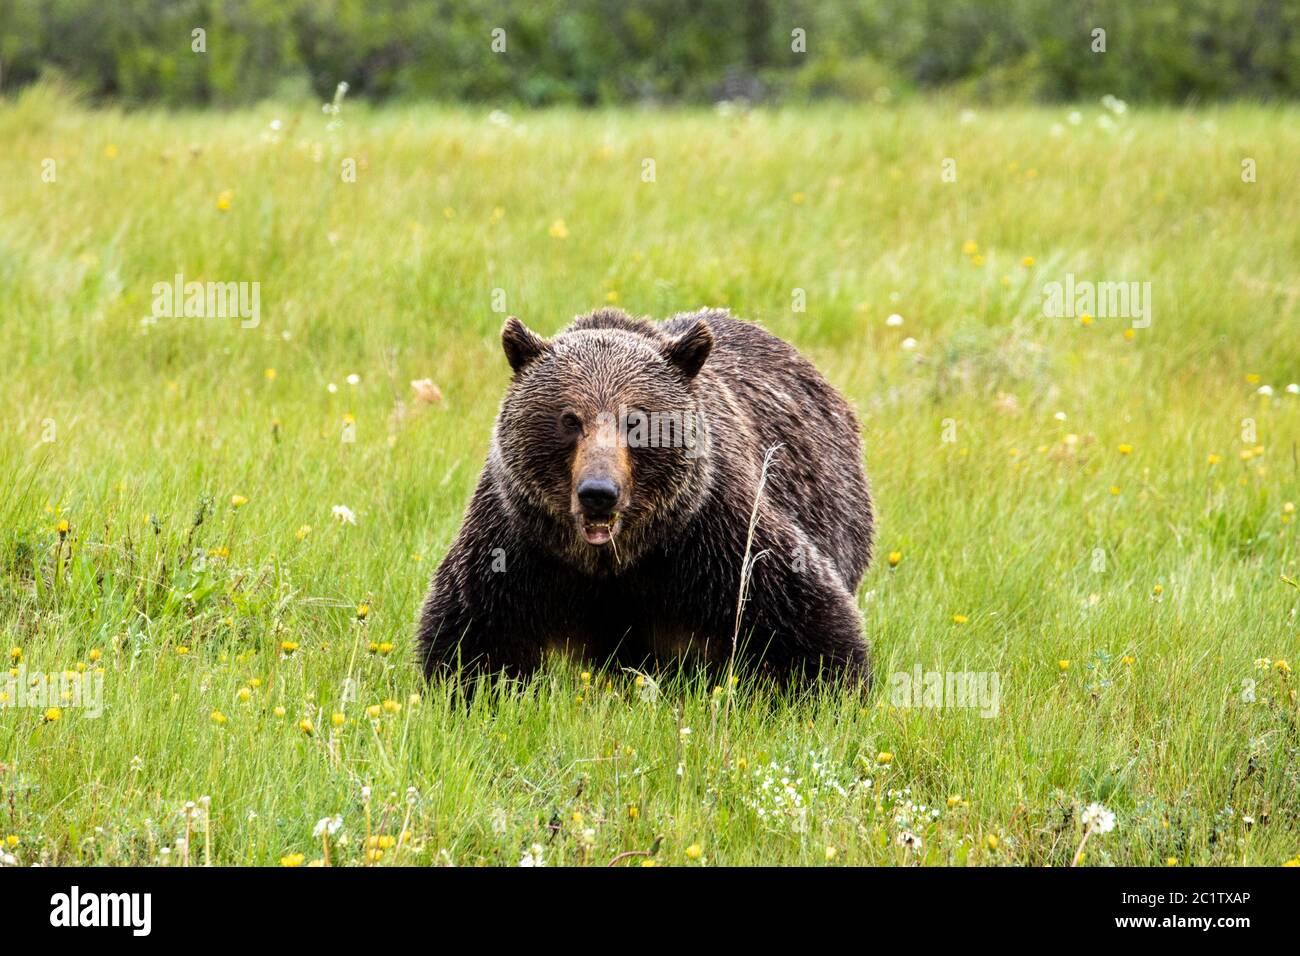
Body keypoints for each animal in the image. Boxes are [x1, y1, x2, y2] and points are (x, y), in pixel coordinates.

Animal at [417, 307, 875, 689]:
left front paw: (828, 689)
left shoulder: (714, 534)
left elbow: (804, 620)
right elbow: (475, 635)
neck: (615, 560)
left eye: (635, 421)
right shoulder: (518, 543)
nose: (598, 492)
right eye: (570, 419)